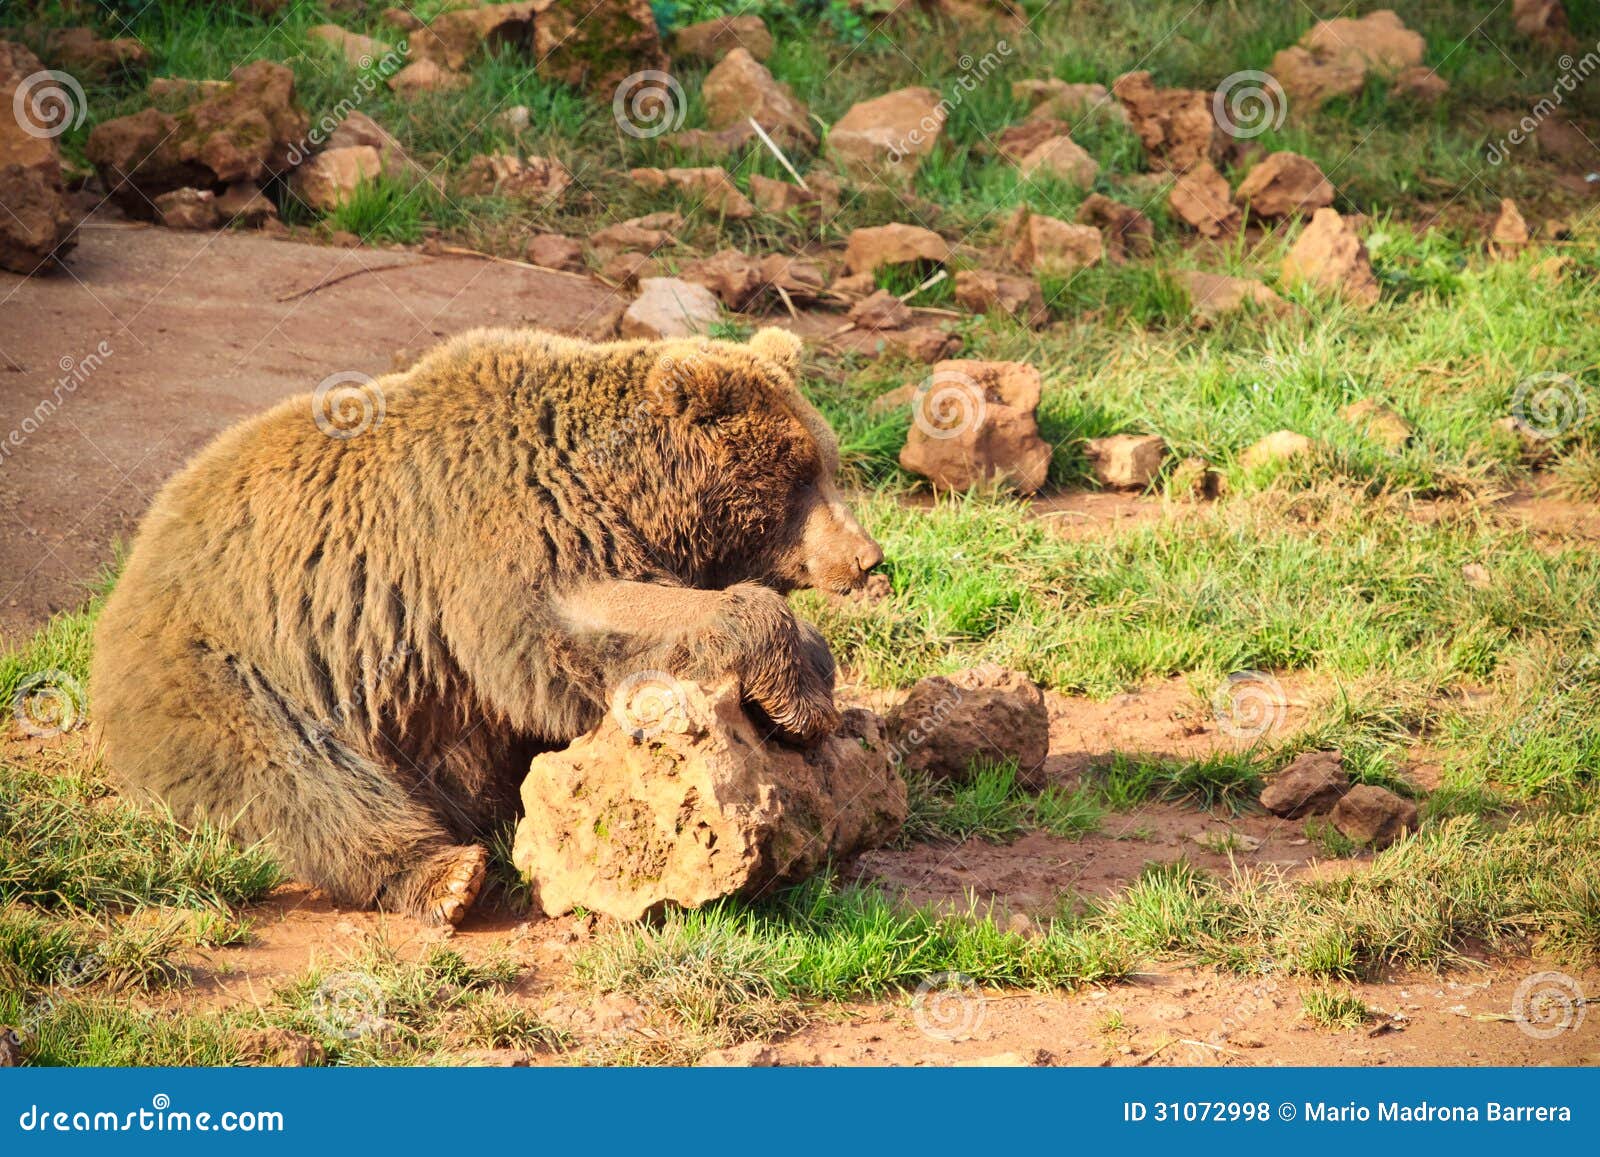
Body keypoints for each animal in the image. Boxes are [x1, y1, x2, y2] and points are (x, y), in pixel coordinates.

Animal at [89, 327, 882, 925]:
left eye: (828, 461)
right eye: (797, 474)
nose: (866, 557)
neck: (621, 489)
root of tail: (127, 577)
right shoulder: (501, 530)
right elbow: (569, 634)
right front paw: (802, 694)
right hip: (228, 670)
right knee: (296, 777)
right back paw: (447, 875)